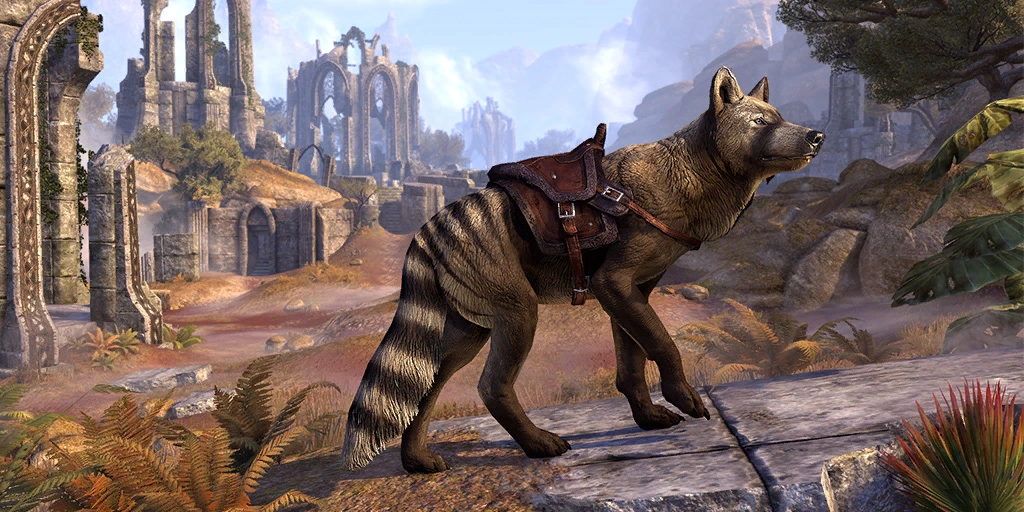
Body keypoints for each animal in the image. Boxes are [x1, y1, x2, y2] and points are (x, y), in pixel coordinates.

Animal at [341, 67, 825, 473]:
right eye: (759, 123)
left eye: (780, 117)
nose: (817, 135)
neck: (684, 178)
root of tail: (430, 224)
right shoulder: (615, 285)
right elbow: (664, 345)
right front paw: (683, 397)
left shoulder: (632, 292)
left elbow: (631, 362)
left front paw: (648, 416)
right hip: (519, 316)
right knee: (490, 386)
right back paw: (539, 444)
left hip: (468, 333)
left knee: (424, 388)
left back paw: (417, 461)